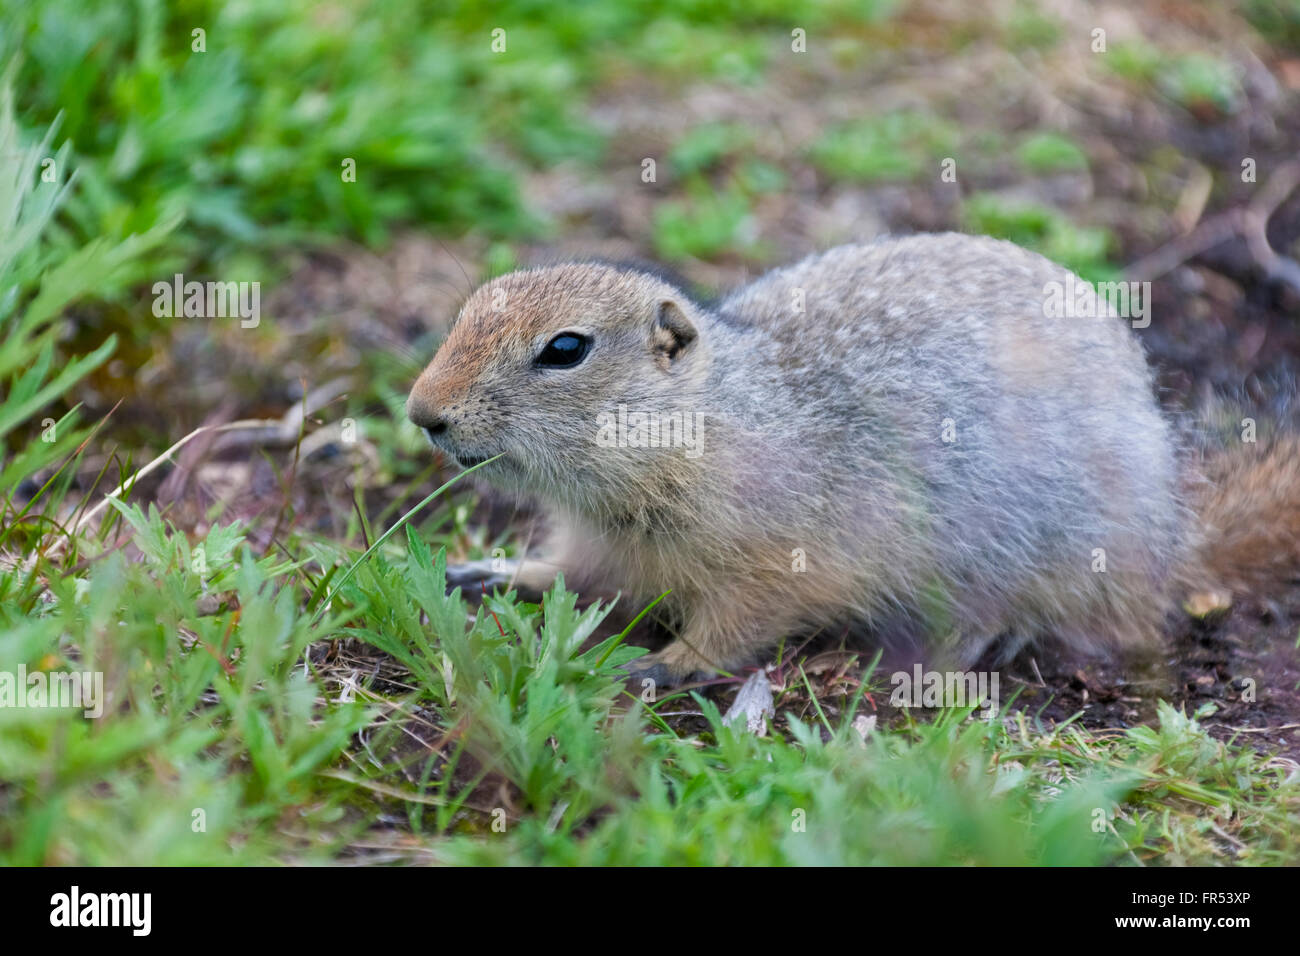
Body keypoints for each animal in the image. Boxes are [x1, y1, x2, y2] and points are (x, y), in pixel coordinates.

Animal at [406, 233, 1300, 686]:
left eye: (565, 349)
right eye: (473, 305)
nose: (422, 413)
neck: (705, 424)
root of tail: (1175, 538)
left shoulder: (780, 556)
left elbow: (739, 622)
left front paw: (661, 665)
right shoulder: (596, 537)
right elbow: (566, 571)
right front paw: (485, 571)